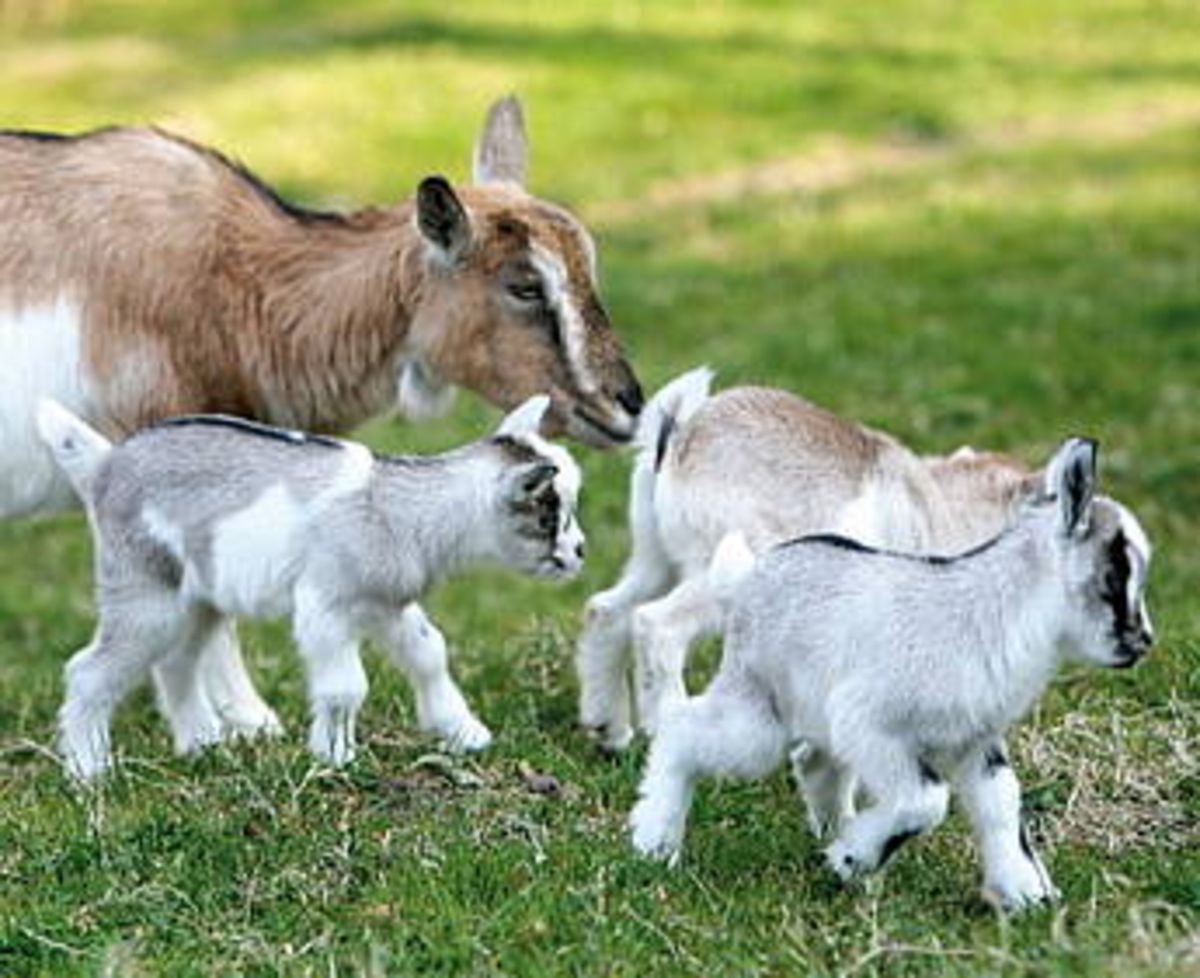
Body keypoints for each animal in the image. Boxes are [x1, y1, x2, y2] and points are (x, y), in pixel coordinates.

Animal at [37, 395, 585, 782]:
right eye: (549, 513)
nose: (580, 552)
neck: (395, 508)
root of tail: (105, 467)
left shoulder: (387, 603)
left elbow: (430, 653)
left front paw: (464, 733)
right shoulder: (326, 606)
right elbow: (346, 686)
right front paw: (337, 757)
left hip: (199, 600)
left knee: (178, 663)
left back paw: (202, 744)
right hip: (146, 591)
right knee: (88, 670)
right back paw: (90, 771)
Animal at [577, 368, 1039, 750]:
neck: (935, 504)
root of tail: (679, 435)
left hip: (655, 562)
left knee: (607, 611)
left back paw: (611, 731)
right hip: (722, 575)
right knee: (656, 624)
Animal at [629, 438, 1155, 911]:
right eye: (1115, 575)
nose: (1143, 643)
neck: (1001, 614)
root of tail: (748, 576)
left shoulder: (976, 741)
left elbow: (1002, 806)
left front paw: (1027, 896)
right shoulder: (872, 726)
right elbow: (926, 801)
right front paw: (851, 859)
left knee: (814, 763)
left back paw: (834, 840)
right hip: (758, 712)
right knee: (684, 733)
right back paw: (655, 842)